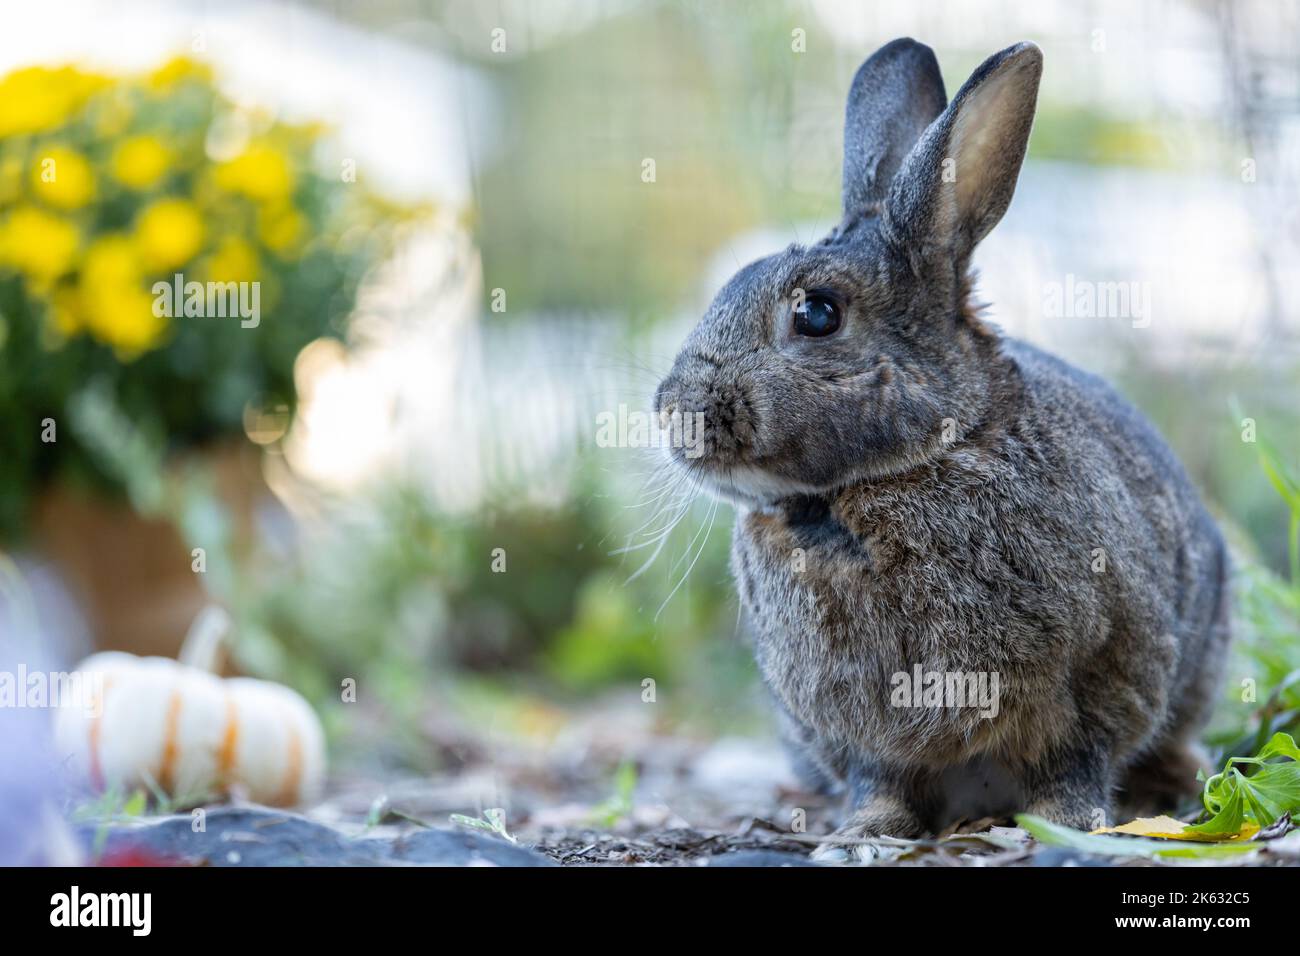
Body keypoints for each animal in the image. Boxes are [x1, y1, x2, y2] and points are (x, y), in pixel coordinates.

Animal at [653, 38, 1231, 857]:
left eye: (817, 314)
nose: (675, 414)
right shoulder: (860, 731)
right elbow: (882, 782)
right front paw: (862, 836)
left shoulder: (1095, 677)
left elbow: (1072, 765)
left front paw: (1067, 827)